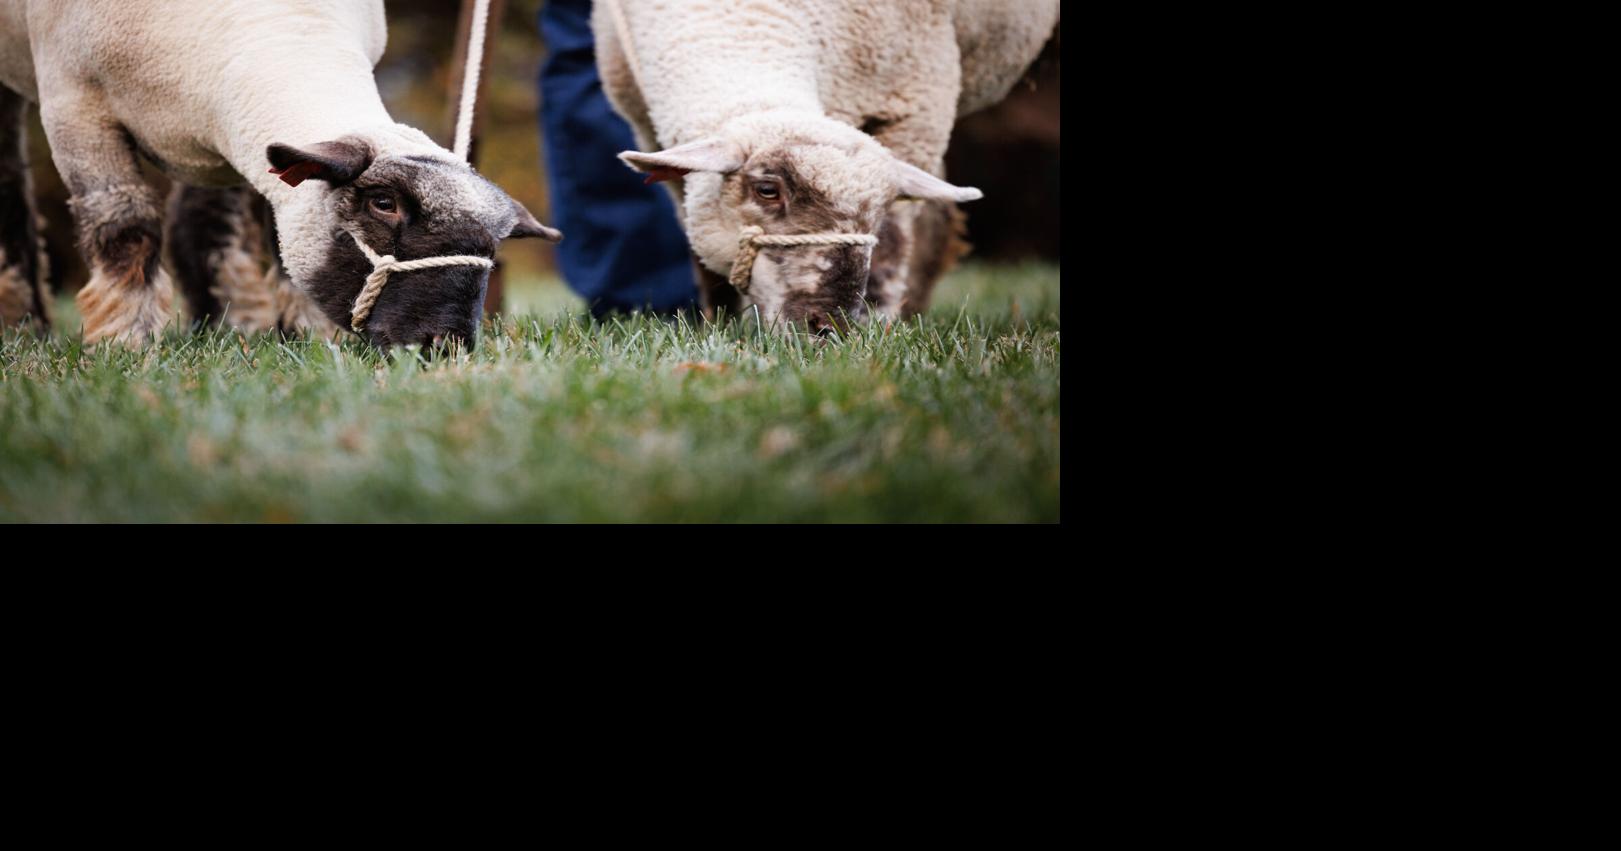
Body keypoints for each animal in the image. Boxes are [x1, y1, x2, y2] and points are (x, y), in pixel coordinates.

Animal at [0, 0, 560, 349]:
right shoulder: (75, 108)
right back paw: (22, 325)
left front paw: (311, 338)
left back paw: (233, 327)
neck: (284, 30)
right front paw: (126, 343)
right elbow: (126, 231)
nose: (444, 345)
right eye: (383, 203)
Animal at [592, 0, 1059, 332]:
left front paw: (876, 326)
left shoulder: (918, 103)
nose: (826, 327)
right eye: (767, 189)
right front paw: (717, 324)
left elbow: (893, 245)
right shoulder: (647, 127)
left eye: (879, 210)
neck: (748, 20)